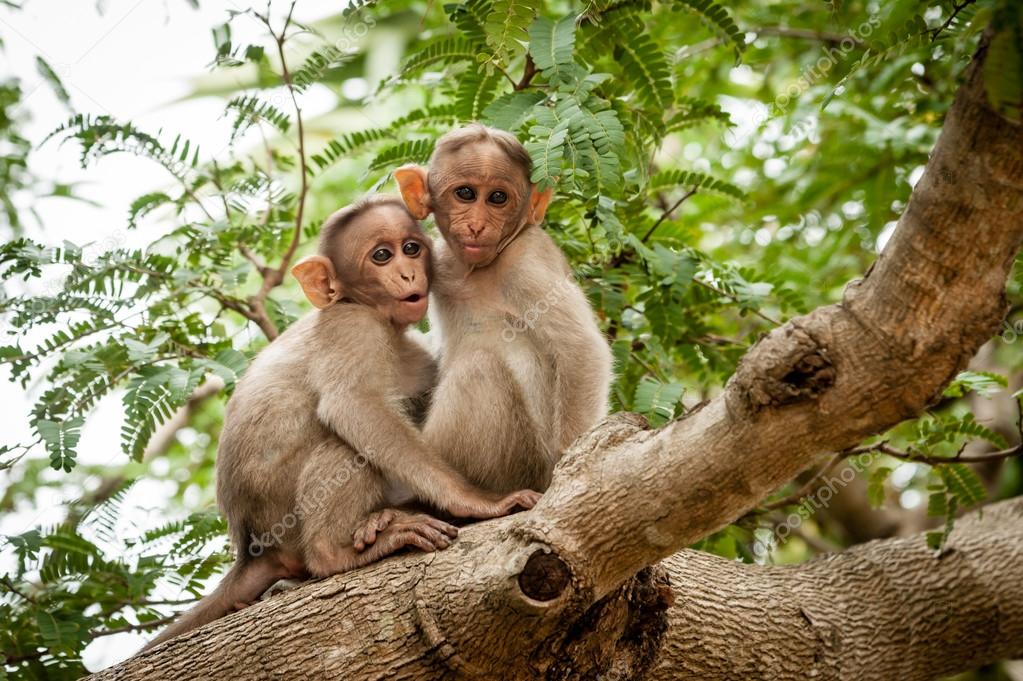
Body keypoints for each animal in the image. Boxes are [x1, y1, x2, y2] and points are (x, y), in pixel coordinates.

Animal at [144, 195, 541, 650]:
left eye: (411, 248)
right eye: (381, 256)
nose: (408, 273)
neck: (358, 304)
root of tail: (253, 548)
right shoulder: (352, 327)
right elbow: (354, 406)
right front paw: (473, 500)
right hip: (286, 522)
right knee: (346, 446)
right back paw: (337, 553)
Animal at [394, 124, 614, 495]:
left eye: (498, 198)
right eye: (465, 194)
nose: (478, 225)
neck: (480, 269)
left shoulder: (527, 263)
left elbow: (581, 349)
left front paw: (567, 460)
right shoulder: (441, 262)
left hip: (518, 461)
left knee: (479, 369)